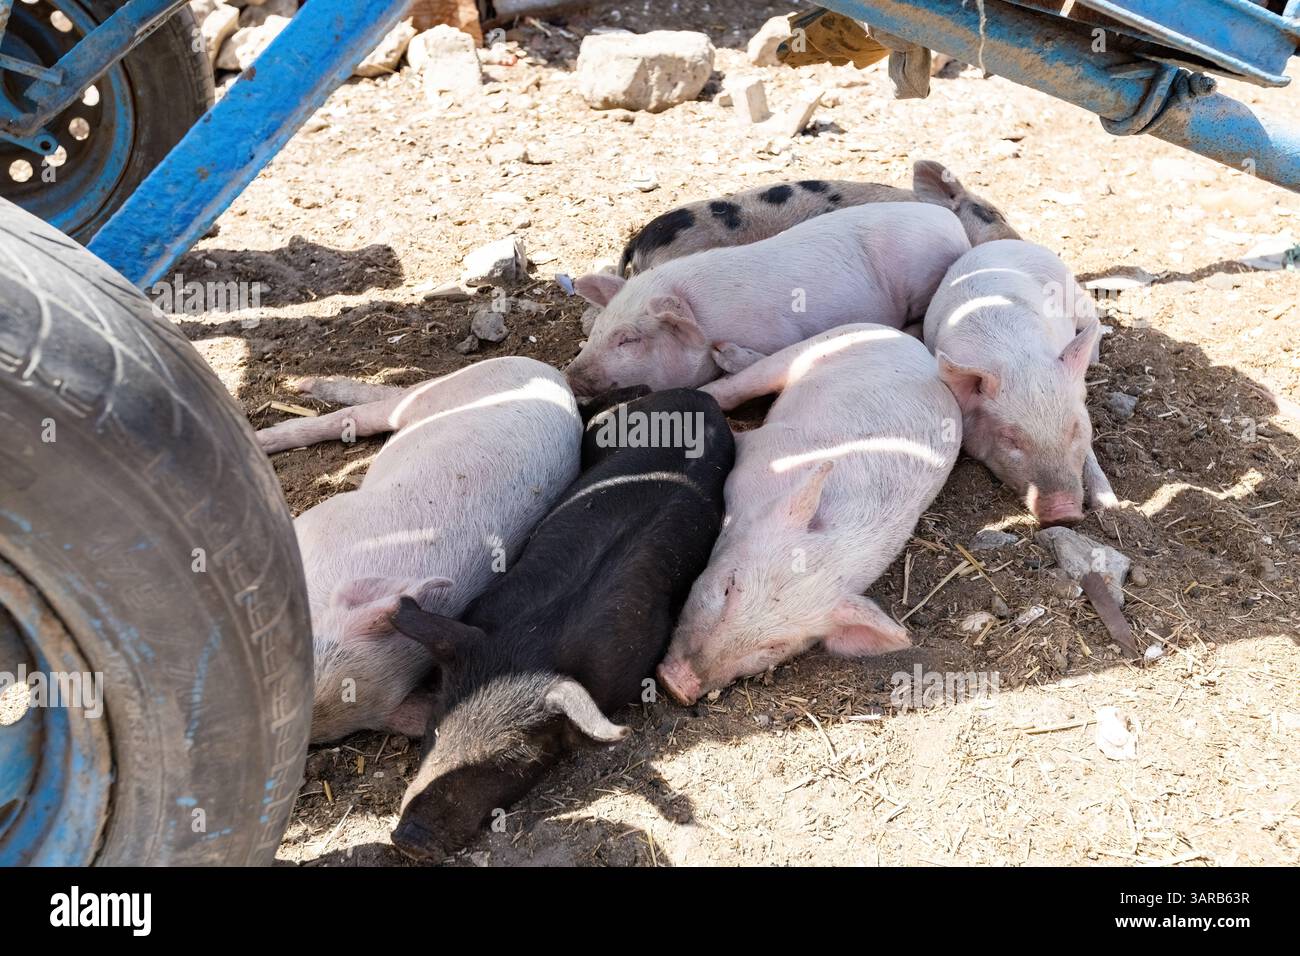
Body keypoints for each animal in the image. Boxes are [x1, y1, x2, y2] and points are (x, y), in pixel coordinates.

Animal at [565, 201, 970, 396]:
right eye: (598, 331)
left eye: (629, 339)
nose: (571, 376)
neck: (707, 321)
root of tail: (951, 222)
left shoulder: (779, 335)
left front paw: (724, 354)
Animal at [657, 324, 961, 706]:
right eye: (729, 587)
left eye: (774, 646)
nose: (677, 684)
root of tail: (918, 349)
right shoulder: (762, 451)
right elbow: (741, 437)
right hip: (823, 344)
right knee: (744, 382)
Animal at [923, 239, 1118, 526]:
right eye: (1010, 438)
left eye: (1073, 429)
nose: (1064, 512)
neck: (1016, 355)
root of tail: (1006, 241)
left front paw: (1111, 506)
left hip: (1075, 293)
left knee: (1094, 321)